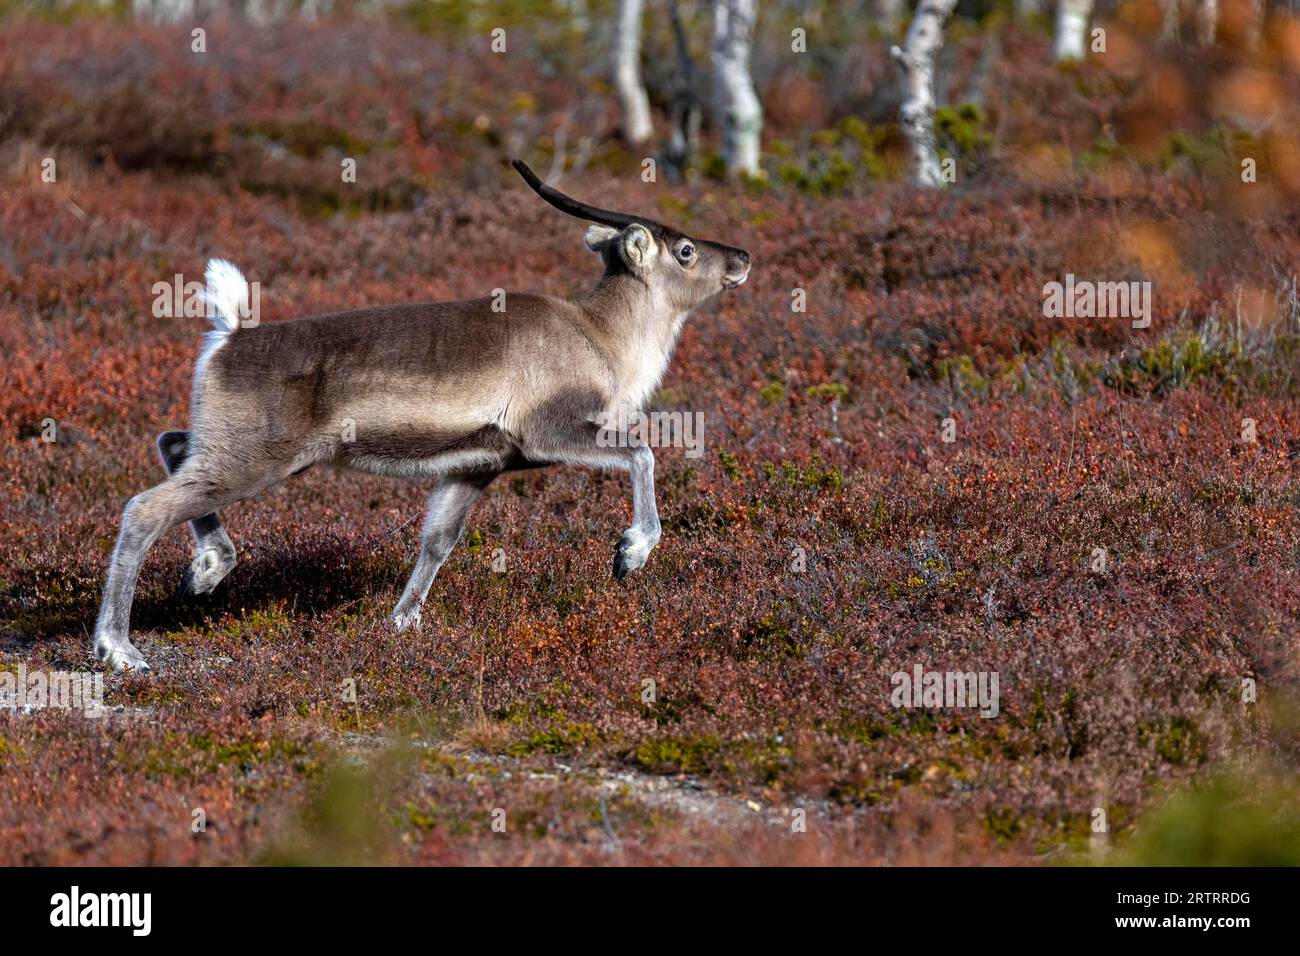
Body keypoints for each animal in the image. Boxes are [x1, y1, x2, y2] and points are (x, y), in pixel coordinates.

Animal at [92, 160, 752, 672]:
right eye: (686, 250)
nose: (742, 255)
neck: (604, 340)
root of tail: (228, 334)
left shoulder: (478, 465)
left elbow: (437, 541)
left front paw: (401, 623)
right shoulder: (552, 431)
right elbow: (643, 452)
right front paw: (630, 553)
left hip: (235, 443)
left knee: (173, 441)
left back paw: (205, 572)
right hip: (257, 455)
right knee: (144, 506)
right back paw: (118, 648)